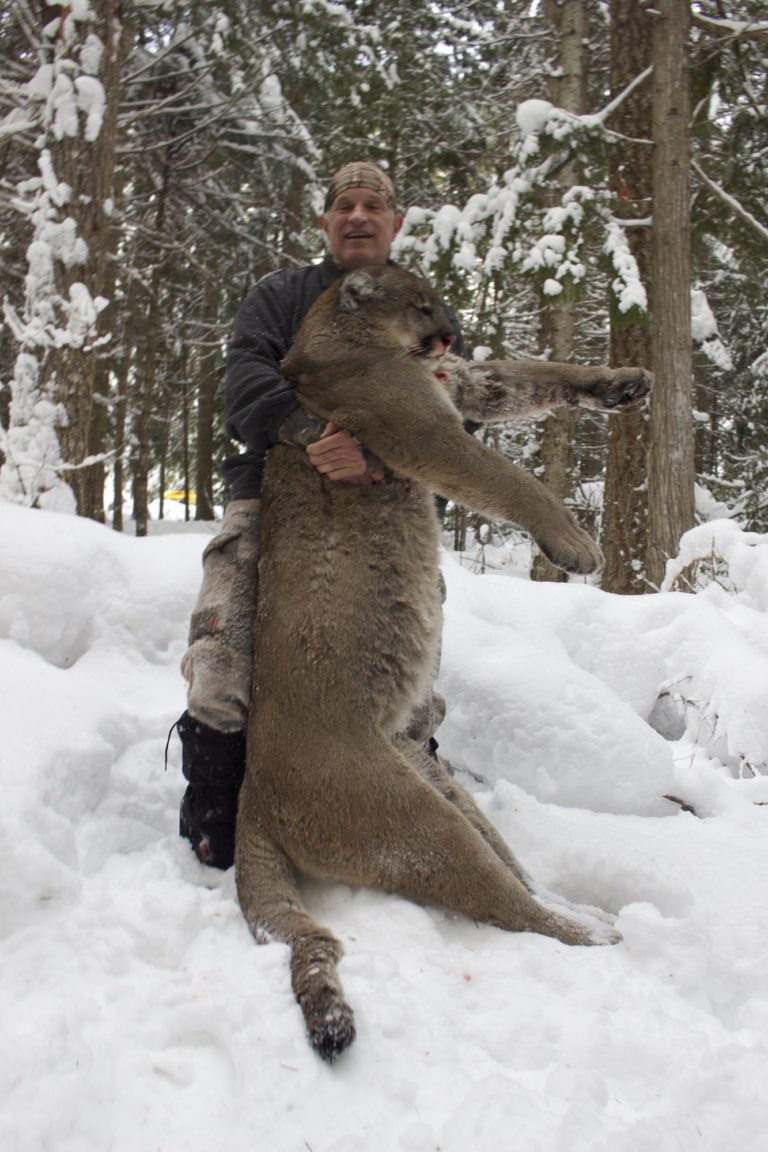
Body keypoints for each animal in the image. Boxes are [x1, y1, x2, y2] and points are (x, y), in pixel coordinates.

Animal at [234, 265, 651, 1062]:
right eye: (421, 302)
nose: (451, 330)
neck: (343, 332)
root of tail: (251, 790)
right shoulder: (426, 427)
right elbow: (512, 478)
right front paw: (575, 546)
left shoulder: (459, 385)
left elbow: (528, 373)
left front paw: (619, 383)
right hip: (413, 822)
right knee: (506, 905)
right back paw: (595, 935)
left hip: (439, 786)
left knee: (517, 876)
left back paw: (588, 911)